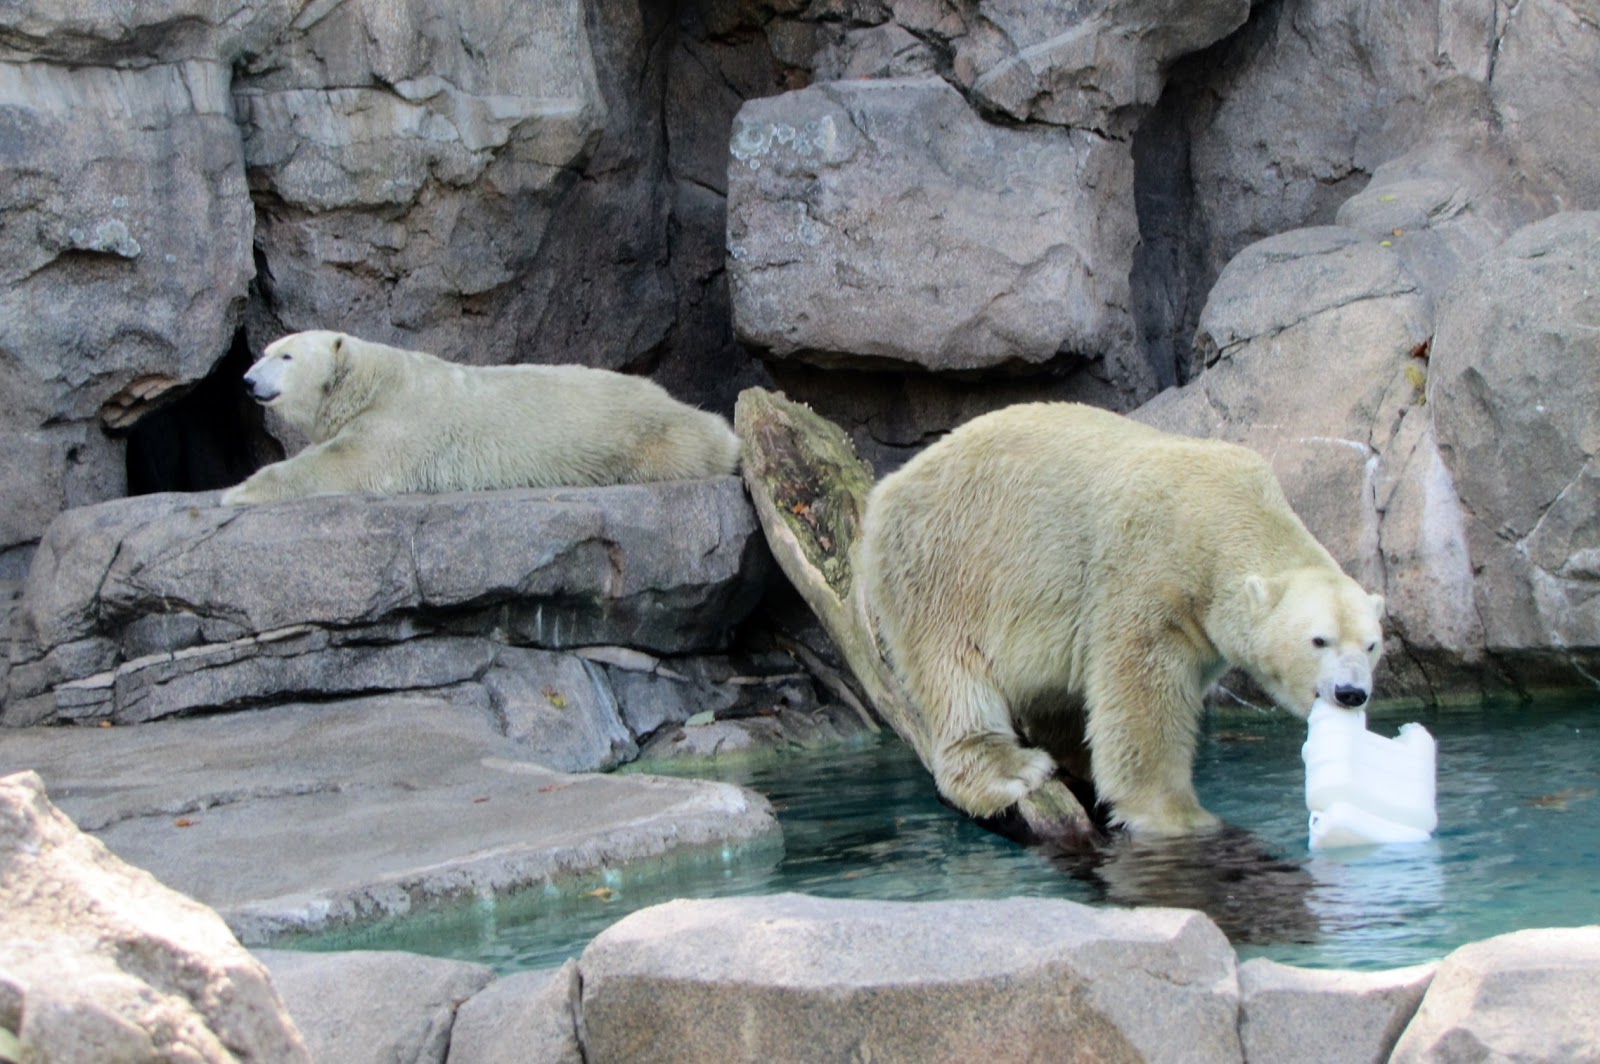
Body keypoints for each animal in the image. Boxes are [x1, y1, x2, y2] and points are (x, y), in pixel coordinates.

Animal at [220, 330, 740, 505]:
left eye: (286, 356)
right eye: (265, 351)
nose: (245, 381)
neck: (374, 378)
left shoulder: (398, 419)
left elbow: (346, 461)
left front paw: (238, 491)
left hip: (651, 434)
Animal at [857, 402, 1385, 838]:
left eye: (1372, 645)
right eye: (1319, 640)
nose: (1350, 693)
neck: (1225, 510)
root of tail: (889, 486)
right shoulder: (1150, 571)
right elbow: (1141, 692)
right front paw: (1176, 814)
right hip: (945, 562)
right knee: (954, 671)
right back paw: (1009, 767)